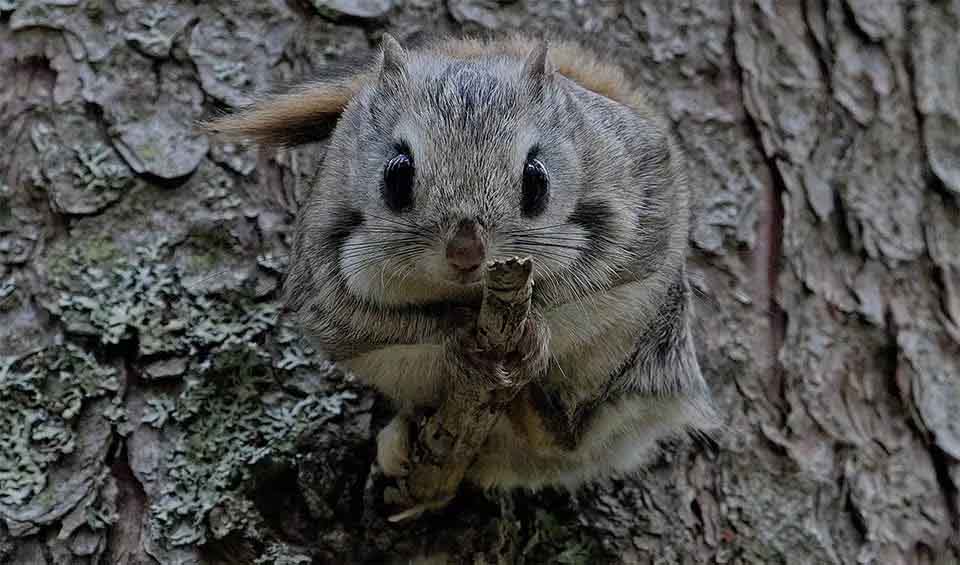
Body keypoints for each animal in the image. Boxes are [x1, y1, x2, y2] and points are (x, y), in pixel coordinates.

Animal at [204, 33, 719, 491]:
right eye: (397, 175)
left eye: (537, 179)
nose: (466, 253)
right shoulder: (325, 286)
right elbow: (387, 326)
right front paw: (456, 336)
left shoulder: (637, 229)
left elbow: (583, 291)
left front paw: (535, 334)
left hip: (647, 358)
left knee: (568, 436)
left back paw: (536, 411)